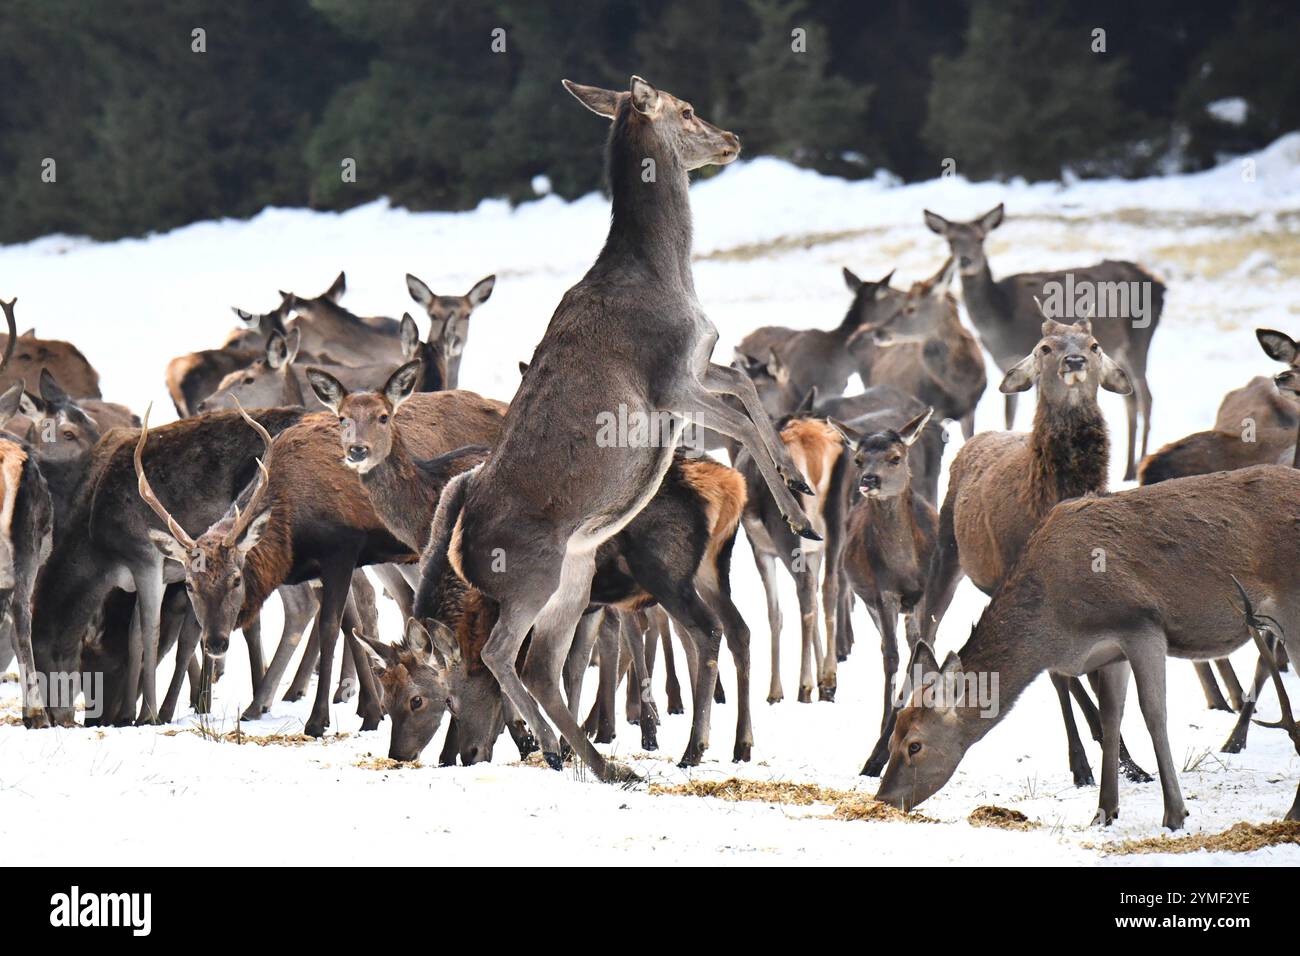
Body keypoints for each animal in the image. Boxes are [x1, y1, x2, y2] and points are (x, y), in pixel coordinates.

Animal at [415, 75, 815, 782]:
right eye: (687, 109)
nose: (733, 138)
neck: (671, 278)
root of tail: (457, 538)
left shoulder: (697, 364)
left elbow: (744, 388)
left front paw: (798, 486)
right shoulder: (668, 385)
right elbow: (741, 413)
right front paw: (797, 512)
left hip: (573, 576)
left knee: (542, 664)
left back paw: (590, 760)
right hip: (533, 575)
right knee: (500, 653)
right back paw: (562, 750)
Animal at [832, 409, 938, 775]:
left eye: (895, 457)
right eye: (858, 459)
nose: (869, 480)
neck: (903, 568)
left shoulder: (924, 591)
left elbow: (918, 649)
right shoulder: (882, 592)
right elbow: (891, 655)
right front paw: (877, 749)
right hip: (868, 601)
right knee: (885, 647)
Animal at [877, 464, 1300, 829]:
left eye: (914, 745)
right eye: (892, 736)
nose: (884, 799)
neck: (1058, 627)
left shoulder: (1143, 624)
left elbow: (1153, 715)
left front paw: (1175, 814)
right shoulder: (1110, 651)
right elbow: (1111, 719)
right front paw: (1104, 812)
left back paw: (1291, 813)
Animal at [922, 316, 1152, 787]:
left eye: (1094, 344)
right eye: (1045, 347)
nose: (1075, 360)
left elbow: (1094, 675)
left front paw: (1129, 760)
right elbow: (1060, 675)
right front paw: (1083, 764)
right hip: (947, 552)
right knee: (921, 629)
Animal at [924, 204, 1163, 480]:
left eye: (981, 238)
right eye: (950, 240)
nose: (965, 261)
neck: (1001, 321)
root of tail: (1159, 283)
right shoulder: (1007, 363)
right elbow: (1009, 414)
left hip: (1139, 339)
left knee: (1147, 398)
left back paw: (1140, 464)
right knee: (1131, 399)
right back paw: (1128, 470)